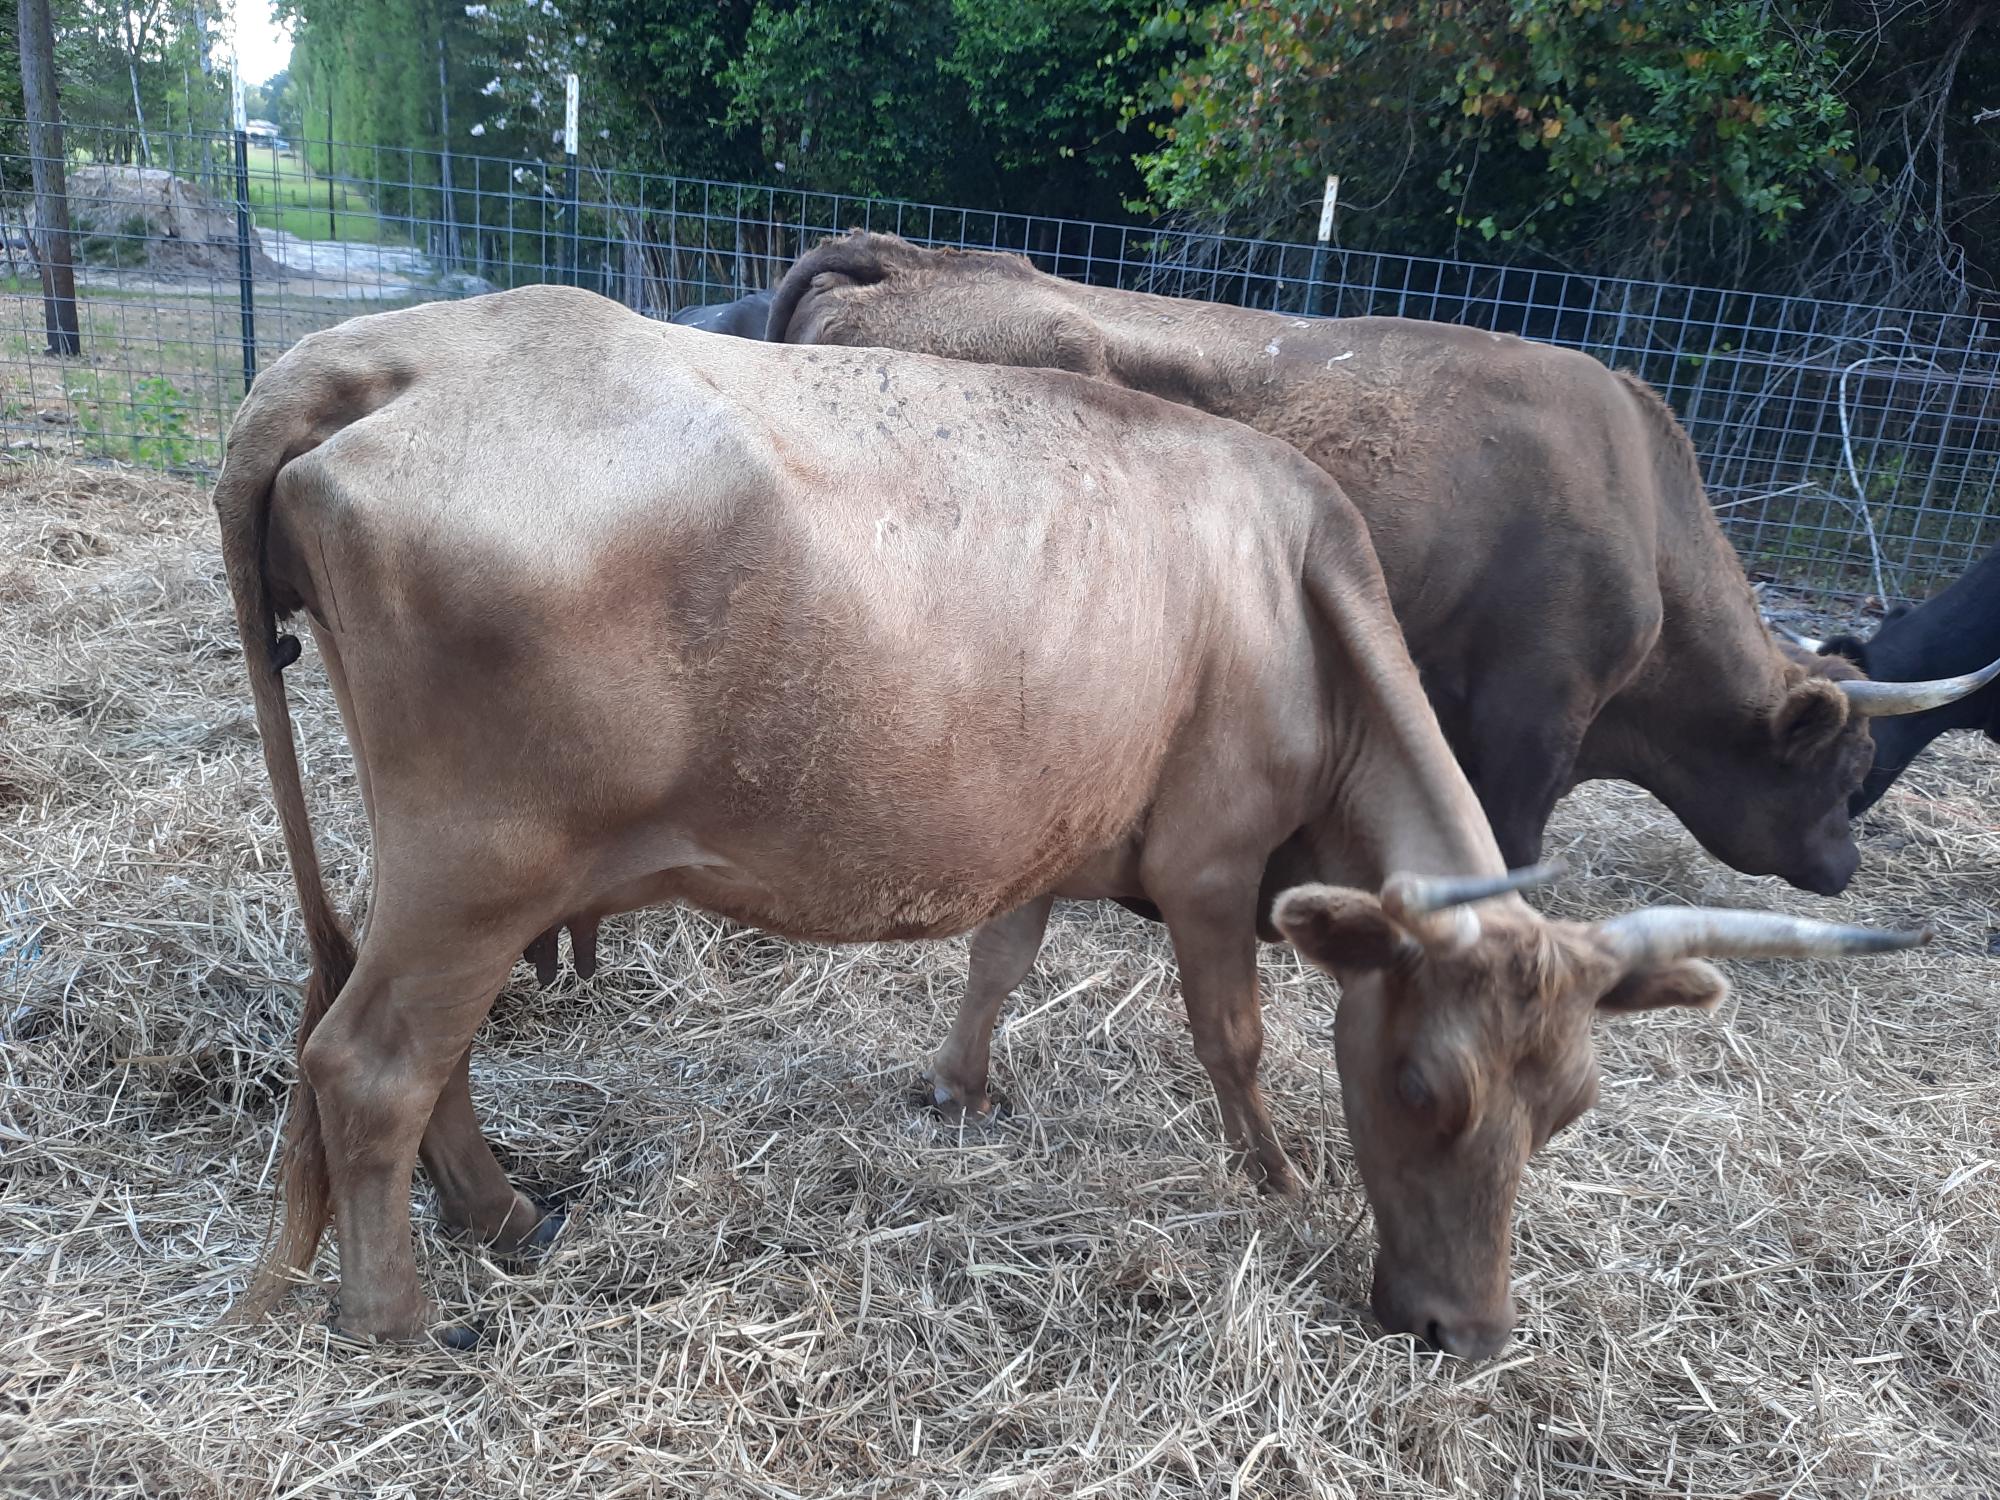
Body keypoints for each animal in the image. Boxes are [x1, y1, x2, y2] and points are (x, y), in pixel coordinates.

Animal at [218, 286, 1926, 1358]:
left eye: (1568, 1107)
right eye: (1421, 1091)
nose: (1469, 1334)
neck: (1302, 595)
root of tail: (401, 355)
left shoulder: (1057, 825)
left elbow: (999, 963)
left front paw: (961, 1092)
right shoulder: (1215, 860)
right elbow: (1232, 1032)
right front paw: (1278, 1174)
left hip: (452, 876)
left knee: (408, 1048)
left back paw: (503, 1210)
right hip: (484, 864)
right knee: (370, 1064)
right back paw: (398, 1316)